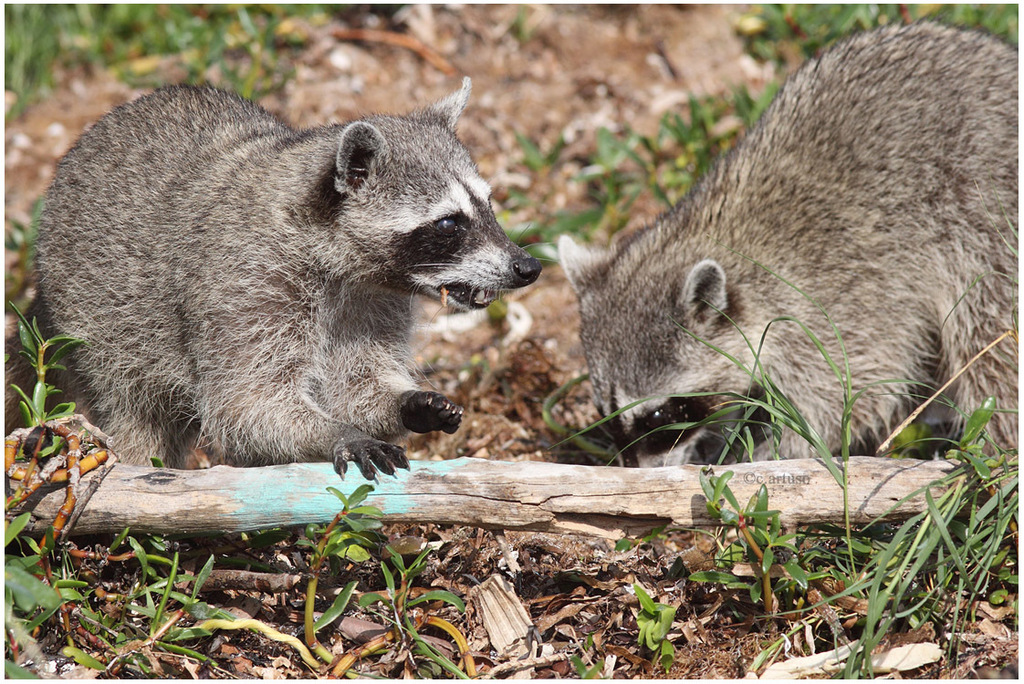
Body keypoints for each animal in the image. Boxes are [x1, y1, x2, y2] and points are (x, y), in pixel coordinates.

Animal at [9, 78, 541, 479]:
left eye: (488, 205)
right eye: (450, 223)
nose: (528, 267)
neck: (346, 269)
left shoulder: (370, 301)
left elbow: (356, 383)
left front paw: (408, 402)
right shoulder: (245, 284)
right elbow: (246, 406)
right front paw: (335, 433)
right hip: (96, 329)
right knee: (136, 418)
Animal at [559, 23, 1017, 467]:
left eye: (657, 415)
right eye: (607, 415)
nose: (641, 472)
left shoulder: (849, 301)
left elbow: (852, 395)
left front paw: (768, 452)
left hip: (987, 218)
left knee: (991, 339)